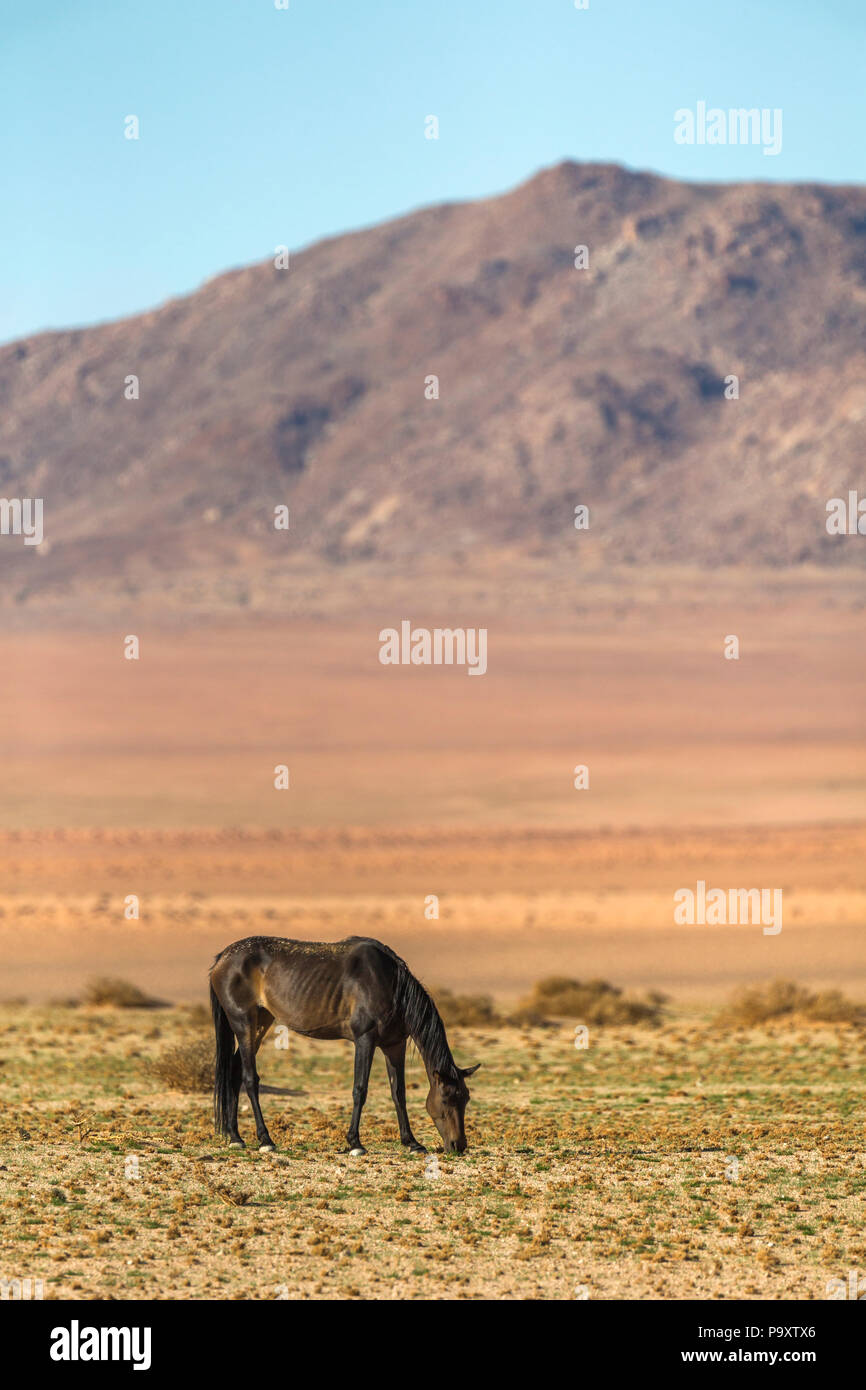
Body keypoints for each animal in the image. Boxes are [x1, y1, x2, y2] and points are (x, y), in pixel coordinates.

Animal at [209, 935, 480, 1155]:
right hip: (244, 1024)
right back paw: (265, 1140)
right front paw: (355, 1143)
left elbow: (398, 1092)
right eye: (446, 1098)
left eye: (465, 1098)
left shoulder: (395, 1045)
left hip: (261, 1023)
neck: (391, 984)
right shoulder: (365, 1040)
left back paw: (235, 1137)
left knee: (234, 1072)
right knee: (249, 1079)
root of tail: (222, 958)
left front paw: (412, 1143)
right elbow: (360, 1089)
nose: (458, 1145)